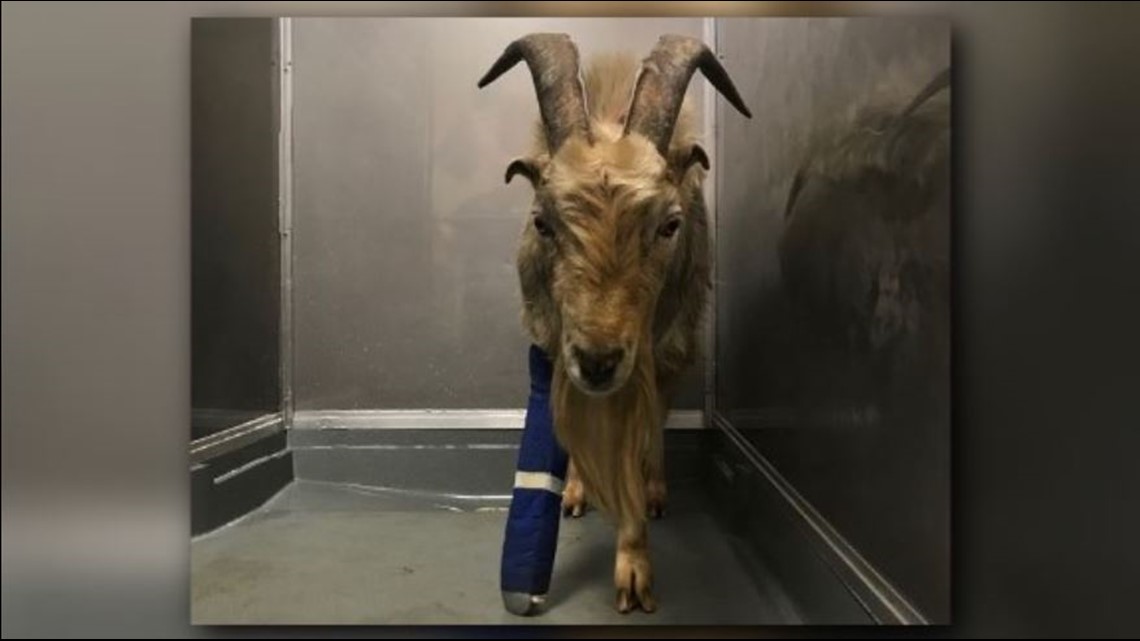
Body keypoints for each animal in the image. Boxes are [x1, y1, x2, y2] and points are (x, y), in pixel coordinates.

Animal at [479, 33, 751, 613]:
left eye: (670, 224)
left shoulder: (659, 353)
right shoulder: (553, 346)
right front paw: (578, 491)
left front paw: (634, 571)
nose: (598, 361)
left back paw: (655, 490)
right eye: (542, 222)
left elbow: (637, 442)